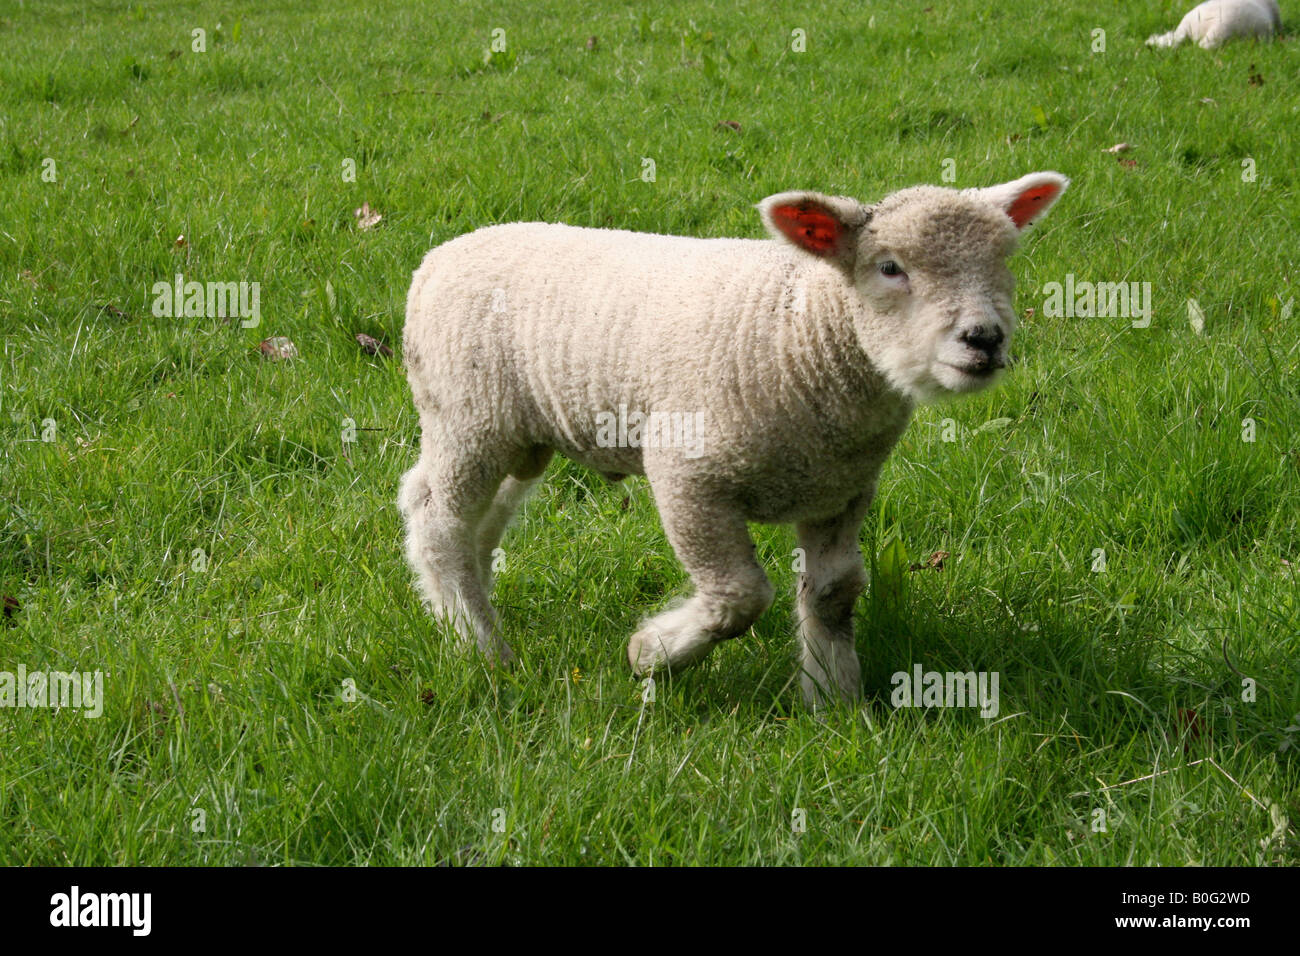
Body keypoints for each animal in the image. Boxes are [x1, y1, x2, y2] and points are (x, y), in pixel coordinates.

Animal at [398, 171, 1068, 707]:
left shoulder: (842, 489)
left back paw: (465, 609)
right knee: (437, 519)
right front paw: (650, 654)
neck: (801, 327)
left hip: (517, 436)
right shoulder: (688, 477)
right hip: (466, 417)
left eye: (1002, 262)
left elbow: (835, 592)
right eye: (889, 267)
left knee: (473, 521)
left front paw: (834, 703)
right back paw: (478, 645)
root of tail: (439, 257)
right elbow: (739, 597)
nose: (984, 339)